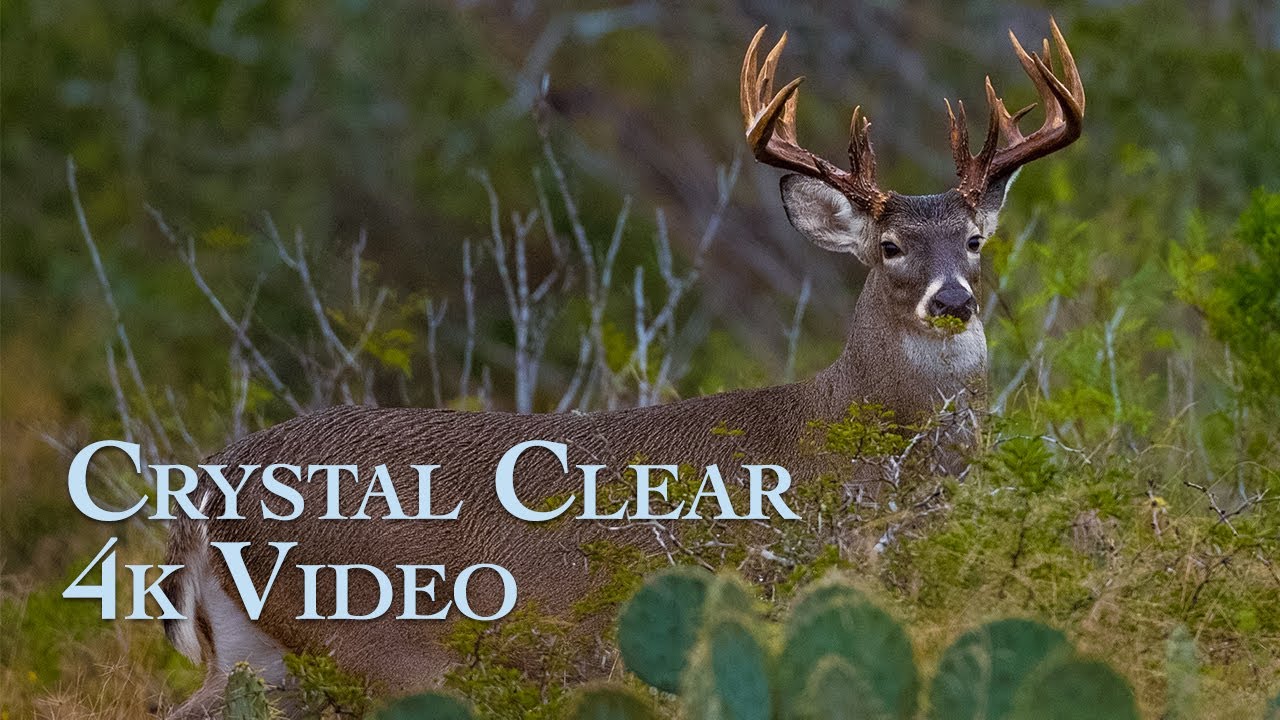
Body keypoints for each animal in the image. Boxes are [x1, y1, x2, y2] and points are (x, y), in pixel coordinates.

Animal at [162, 19, 1084, 718]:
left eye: (975, 240)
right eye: (890, 245)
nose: (953, 300)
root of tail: (204, 493)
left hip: (255, 649)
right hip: (378, 639)